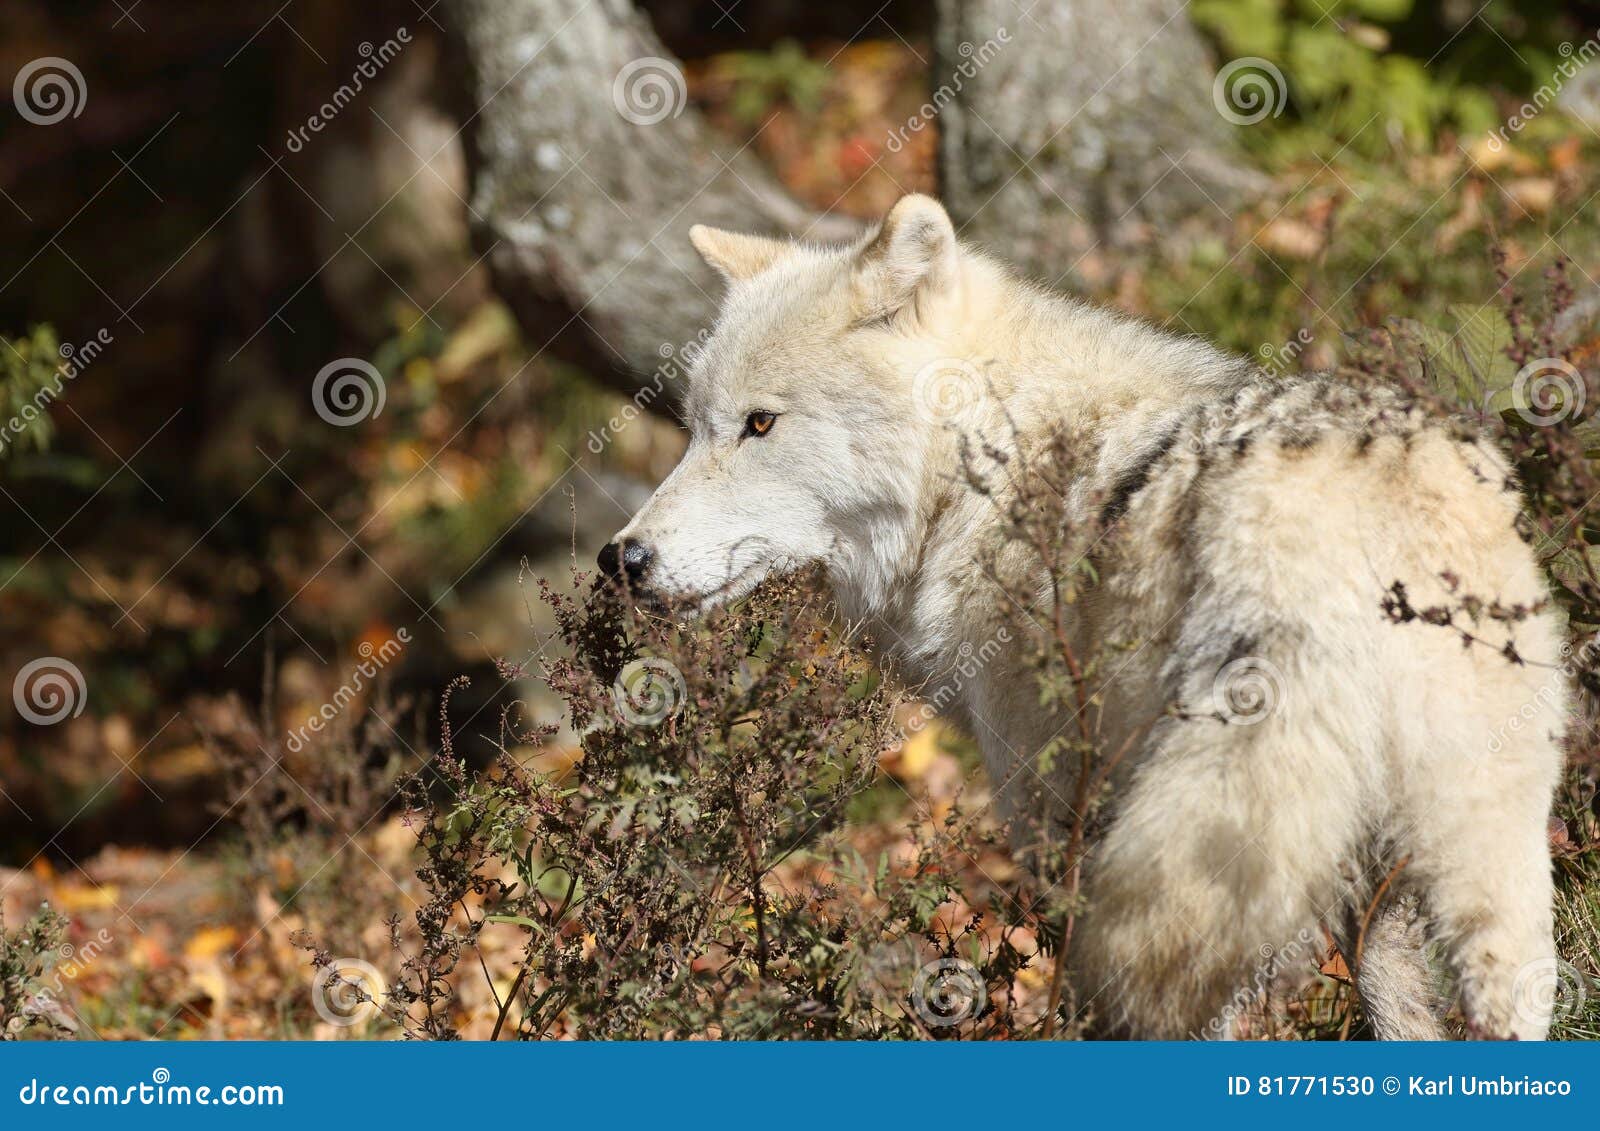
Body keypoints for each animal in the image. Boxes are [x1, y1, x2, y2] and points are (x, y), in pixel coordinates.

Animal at [599, 194, 1568, 1039]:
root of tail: (1360, 512)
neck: (982, 466)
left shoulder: (1046, 807)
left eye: (760, 424)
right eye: (694, 427)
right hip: (1471, 852)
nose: (622, 560)